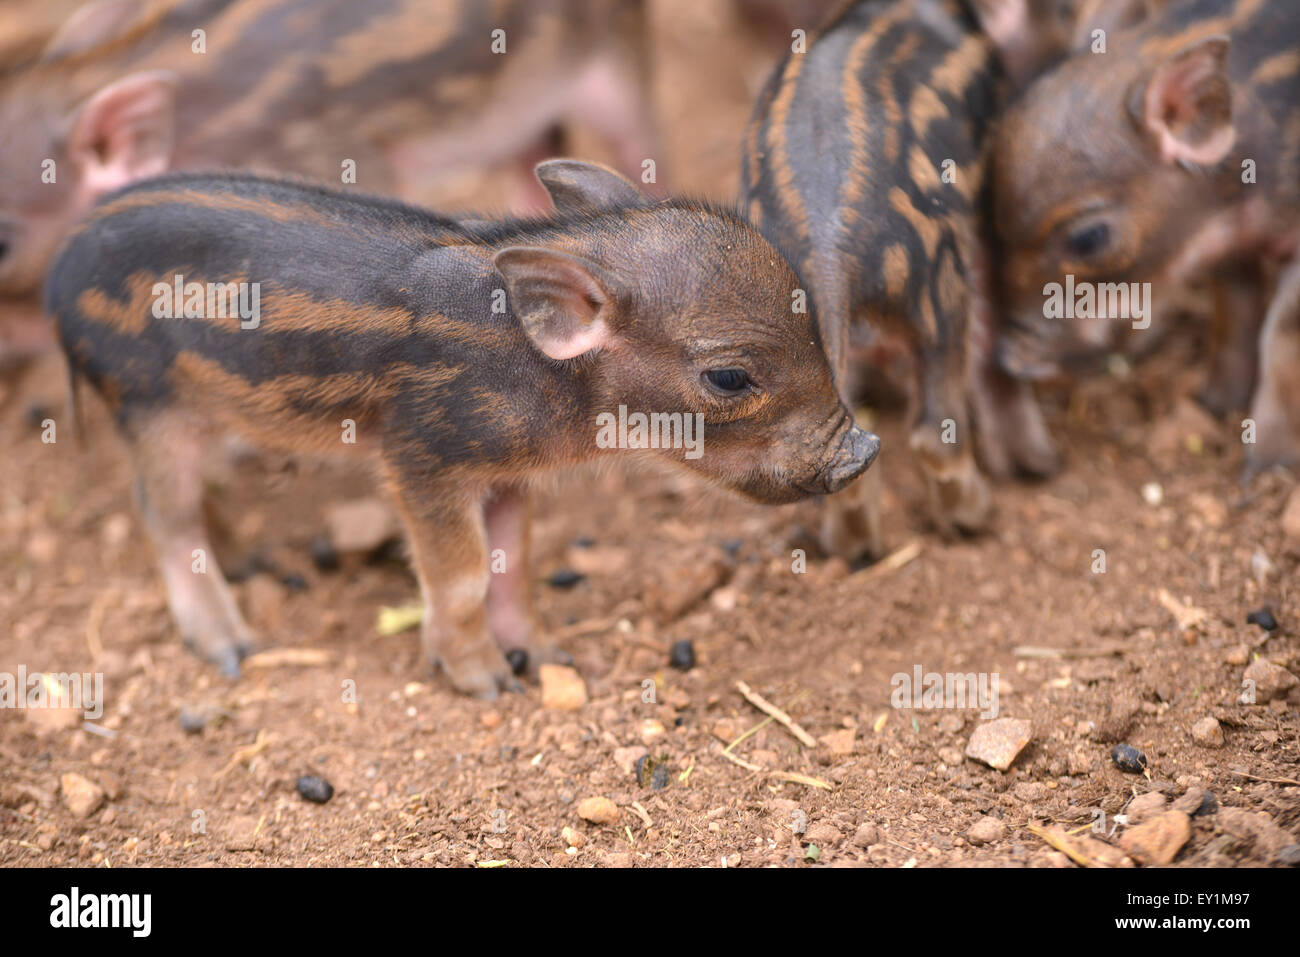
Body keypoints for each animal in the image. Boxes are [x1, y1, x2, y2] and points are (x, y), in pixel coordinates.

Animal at [46, 160, 880, 698]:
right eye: (730, 377)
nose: (863, 449)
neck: (545, 373)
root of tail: (58, 272)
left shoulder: (504, 469)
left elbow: (514, 561)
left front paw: (541, 655)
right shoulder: (422, 455)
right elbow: (463, 574)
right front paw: (483, 682)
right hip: (148, 401)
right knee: (164, 512)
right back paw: (232, 646)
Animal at [988, 0, 1300, 474]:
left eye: (1088, 238)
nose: (1008, 355)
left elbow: (1283, 329)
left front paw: (1266, 466)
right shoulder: (1228, 243)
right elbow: (1236, 304)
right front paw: (1214, 402)